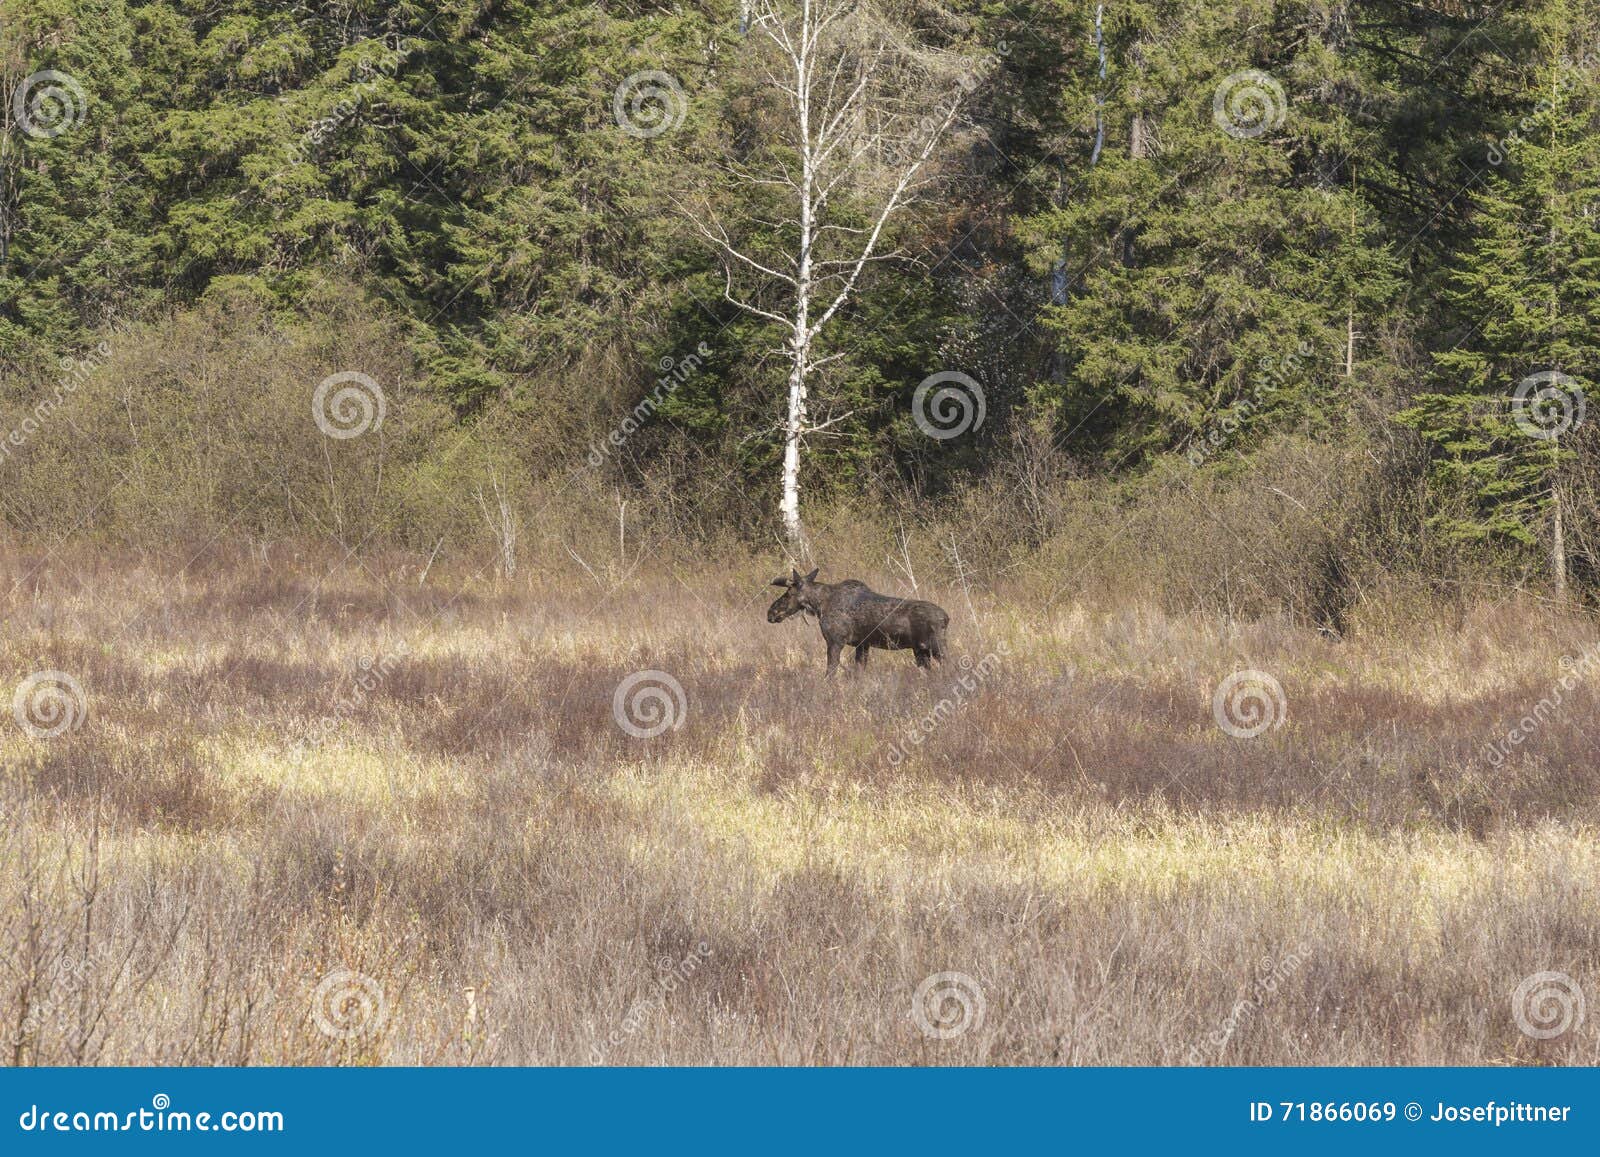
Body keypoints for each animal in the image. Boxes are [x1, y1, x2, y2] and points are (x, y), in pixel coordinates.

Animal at [767, 568, 950, 673]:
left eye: (788, 593)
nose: (771, 612)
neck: (819, 605)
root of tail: (946, 618)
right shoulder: (862, 645)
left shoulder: (835, 642)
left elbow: (830, 673)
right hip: (921, 651)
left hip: (936, 647)